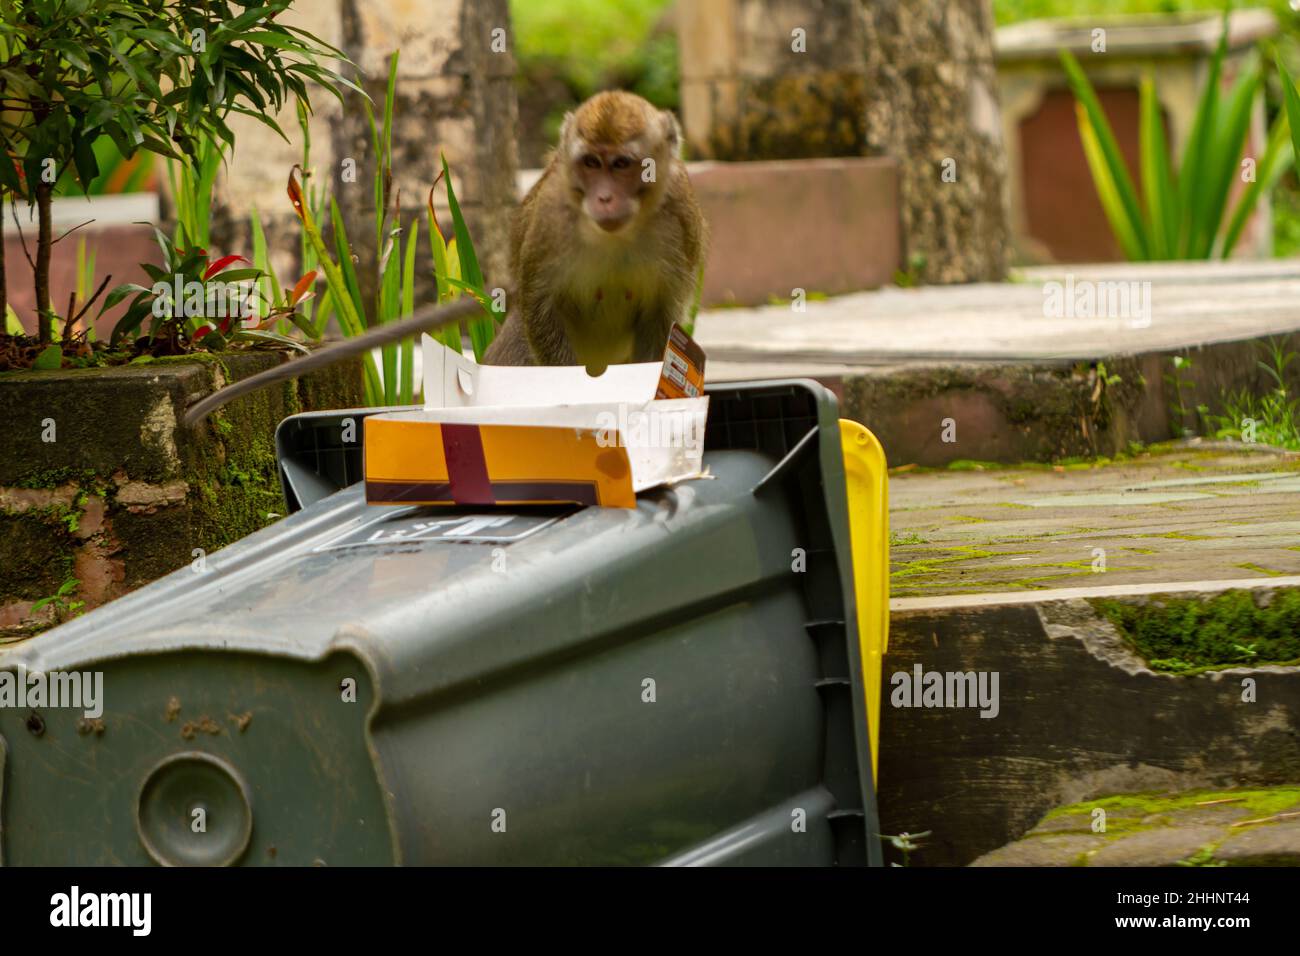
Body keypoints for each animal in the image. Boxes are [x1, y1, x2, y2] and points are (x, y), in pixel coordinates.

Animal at [483, 90, 707, 374]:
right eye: (591, 162)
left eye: (621, 164)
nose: (604, 197)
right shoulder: (549, 219)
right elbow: (539, 309)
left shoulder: (682, 218)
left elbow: (662, 322)